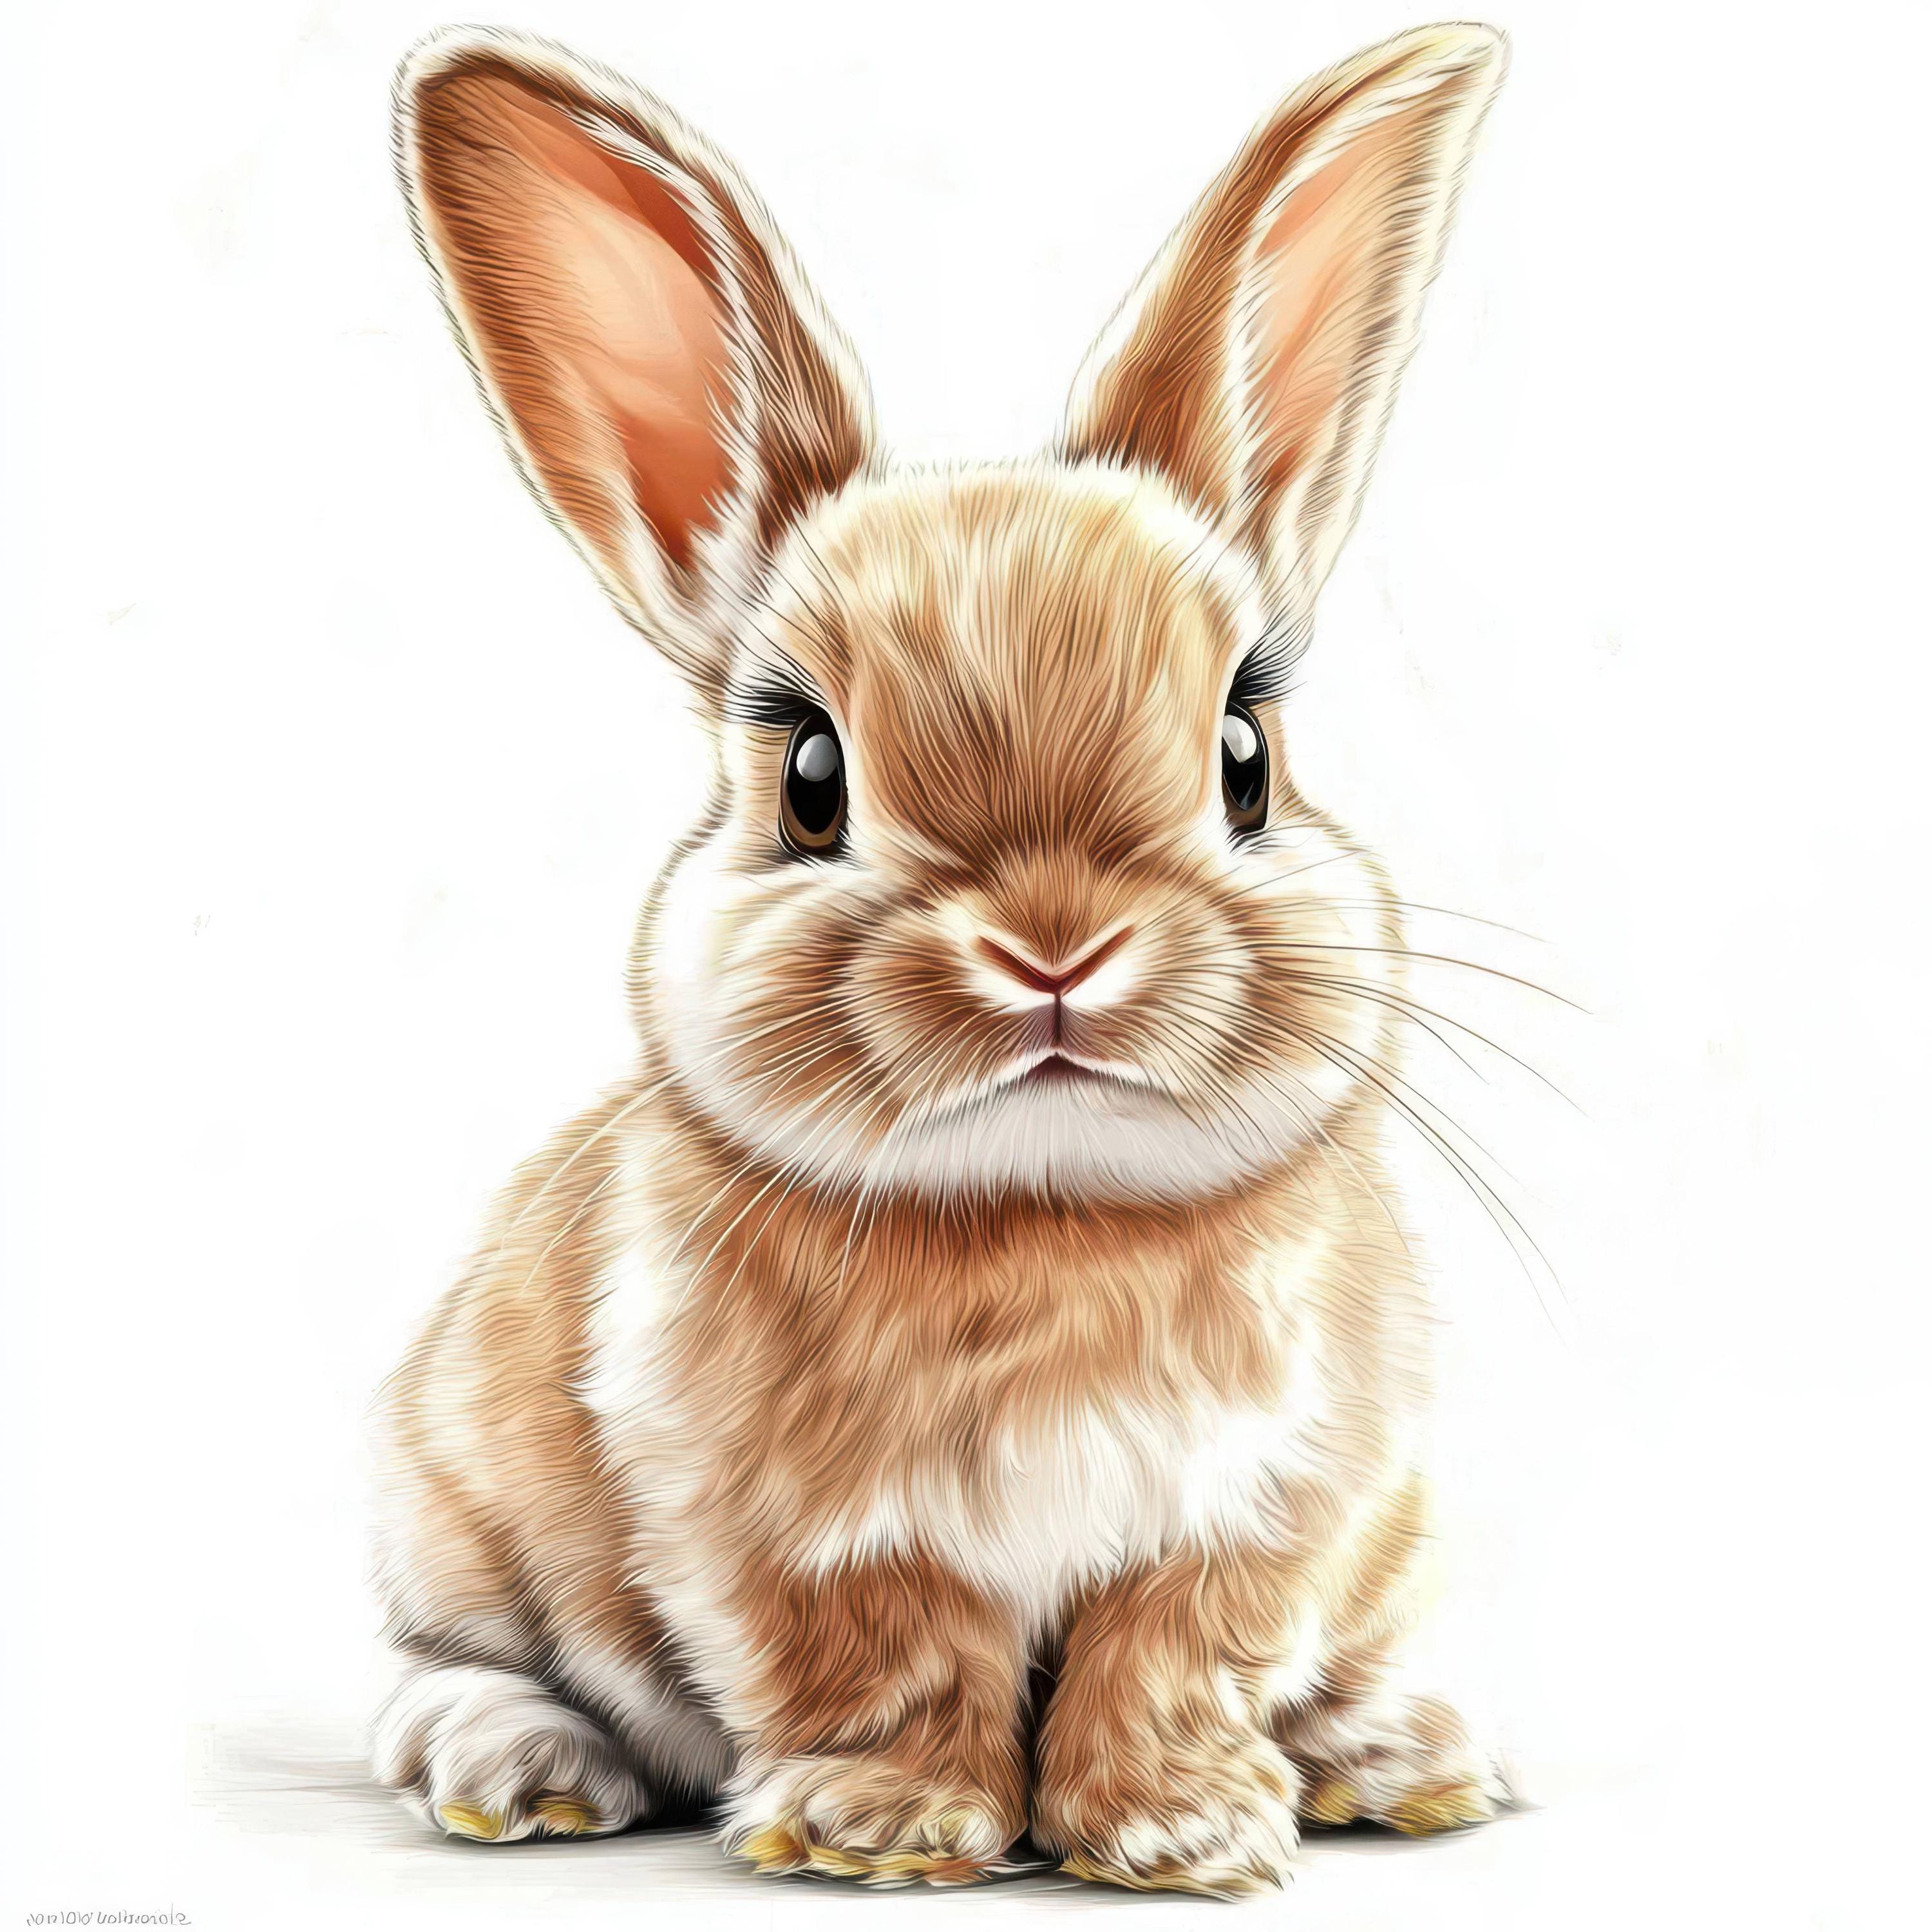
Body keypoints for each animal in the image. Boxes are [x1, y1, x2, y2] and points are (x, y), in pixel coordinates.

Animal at [370, 20, 1511, 1895]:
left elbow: (1172, 1651)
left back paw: (1399, 1758)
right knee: (440, 1665)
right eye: (809, 777)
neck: (1044, 1218)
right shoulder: (790, 1529)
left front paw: (1180, 1832)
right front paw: (882, 1833)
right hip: (453, 1508)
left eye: (1246, 754)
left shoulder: (1266, 1509)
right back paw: (516, 1767)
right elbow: (888, 1656)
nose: (1055, 949)